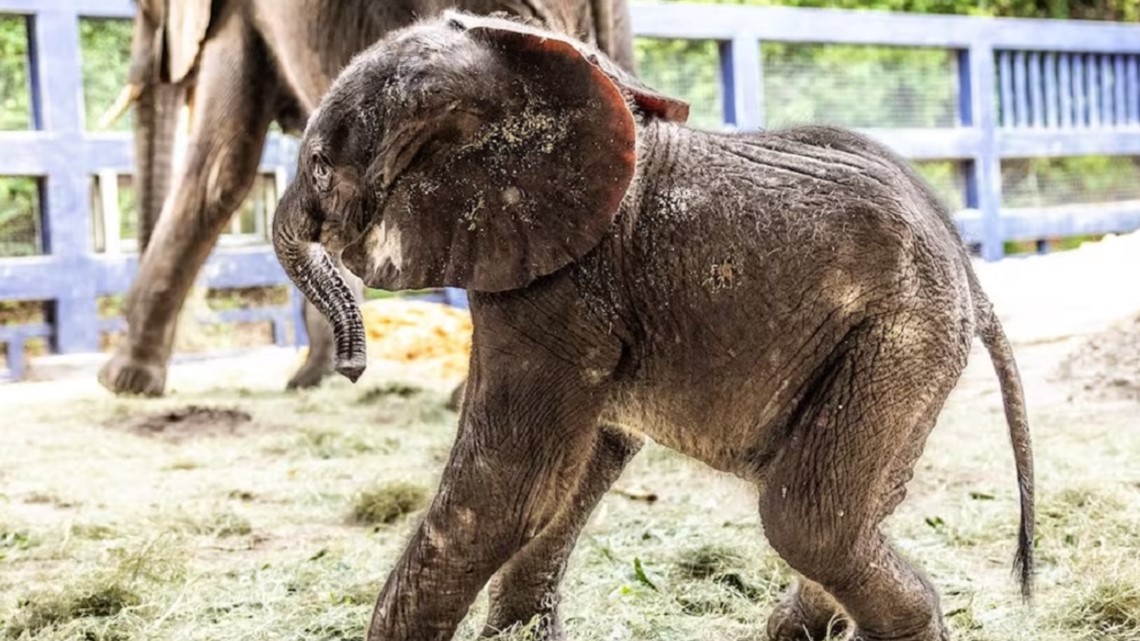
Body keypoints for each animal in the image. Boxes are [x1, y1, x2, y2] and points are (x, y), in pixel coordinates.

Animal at [272, 12, 1036, 641]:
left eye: (320, 165)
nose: (351, 368)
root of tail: (969, 272)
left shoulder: (561, 282)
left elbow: (513, 486)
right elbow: (582, 466)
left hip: (898, 334)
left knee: (807, 520)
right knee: (857, 505)